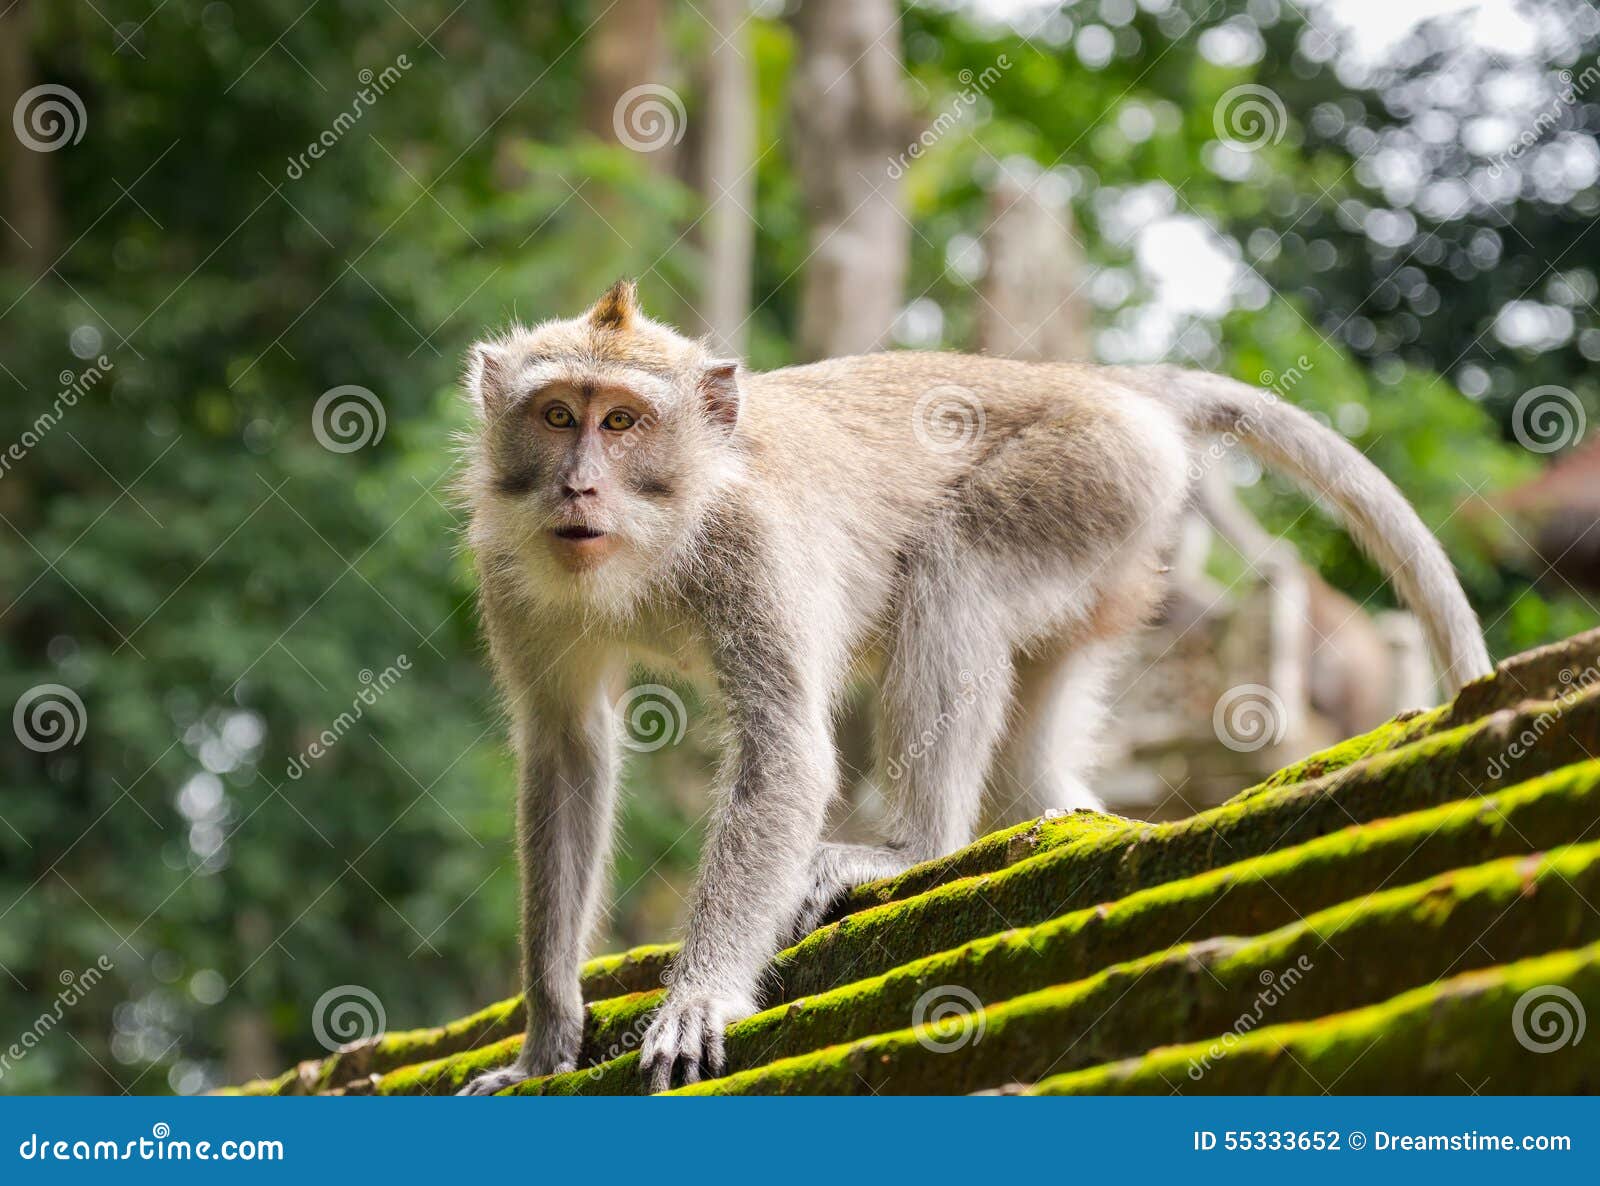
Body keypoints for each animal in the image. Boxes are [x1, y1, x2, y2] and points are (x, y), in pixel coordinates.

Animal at [454, 279, 1491, 1095]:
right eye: (558, 417)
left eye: (623, 421)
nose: (579, 487)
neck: (665, 526)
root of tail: (1105, 385)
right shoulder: (508, 568)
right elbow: (566, 752)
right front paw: (547, 1037)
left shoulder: (749, 549)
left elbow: (785, 747)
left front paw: (700, 995)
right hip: (1115, 551)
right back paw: (1050, 811)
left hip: (1087, 478)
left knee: (953, 567)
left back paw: (913, 848)